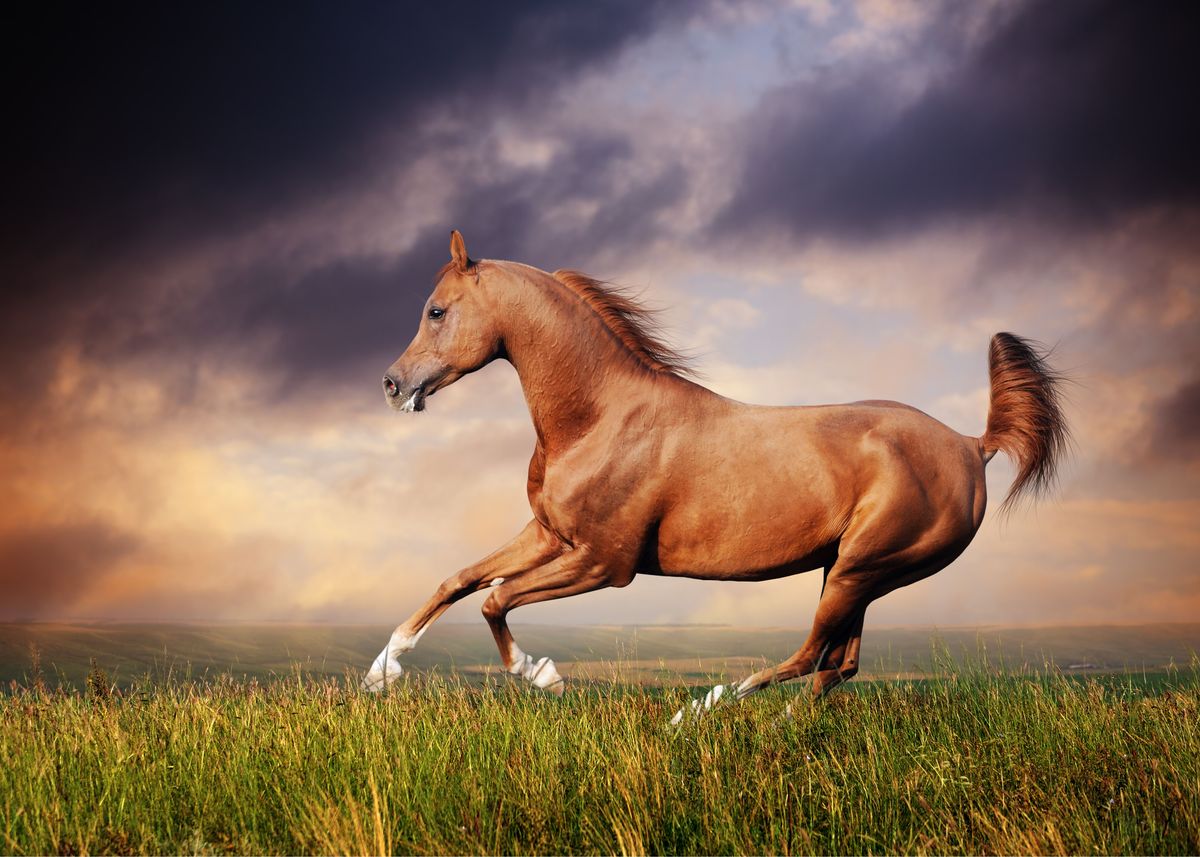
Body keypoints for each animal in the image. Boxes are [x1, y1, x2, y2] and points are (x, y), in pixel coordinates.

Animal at [363, 230, 1069, 720]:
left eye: (436, 311)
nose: (392, 384)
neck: (599, 417)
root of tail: (972, 446)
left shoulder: (603, 563)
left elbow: (495, 598)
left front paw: (542, 675)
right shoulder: (547, 535)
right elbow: (458, 580)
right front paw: (382, 671)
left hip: (861, 570)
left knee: (812, 656)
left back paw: (701, 710)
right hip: (856, 575)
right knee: (837, 667)